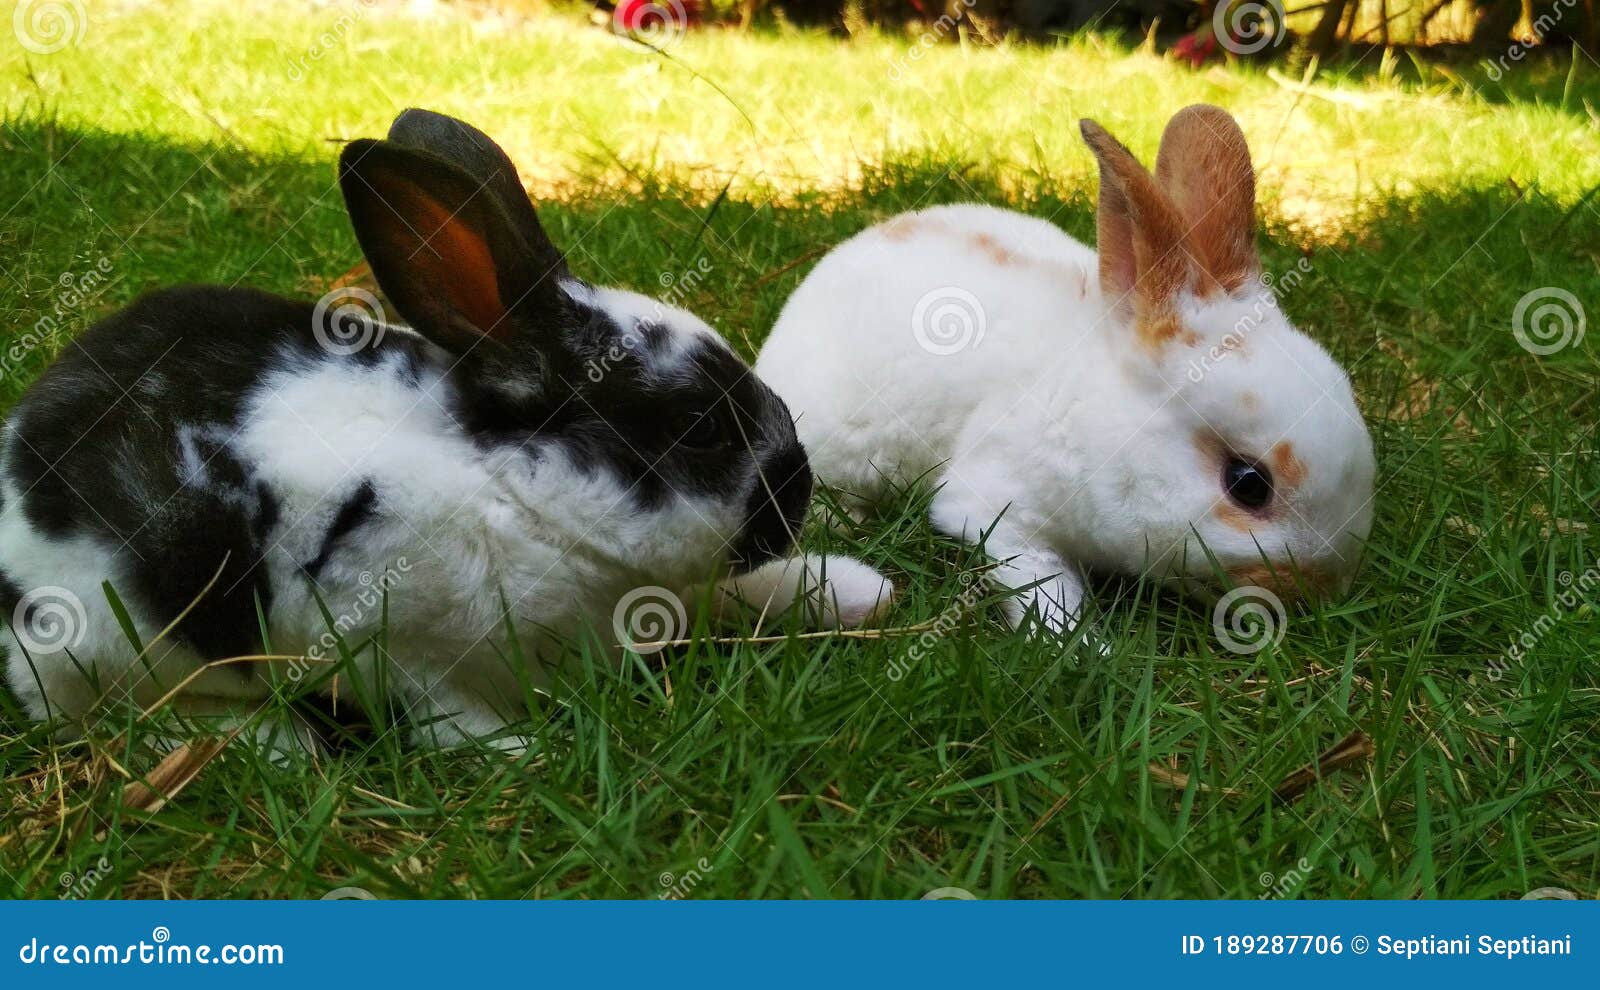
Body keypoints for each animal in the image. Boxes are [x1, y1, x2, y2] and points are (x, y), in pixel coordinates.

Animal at [0, 109, 887, 750]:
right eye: (700, 428)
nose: (798, 492)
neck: (515, 496)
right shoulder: (410, 652)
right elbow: (453, 720)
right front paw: (528, 757)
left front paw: (856, 590)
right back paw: (277, 745)